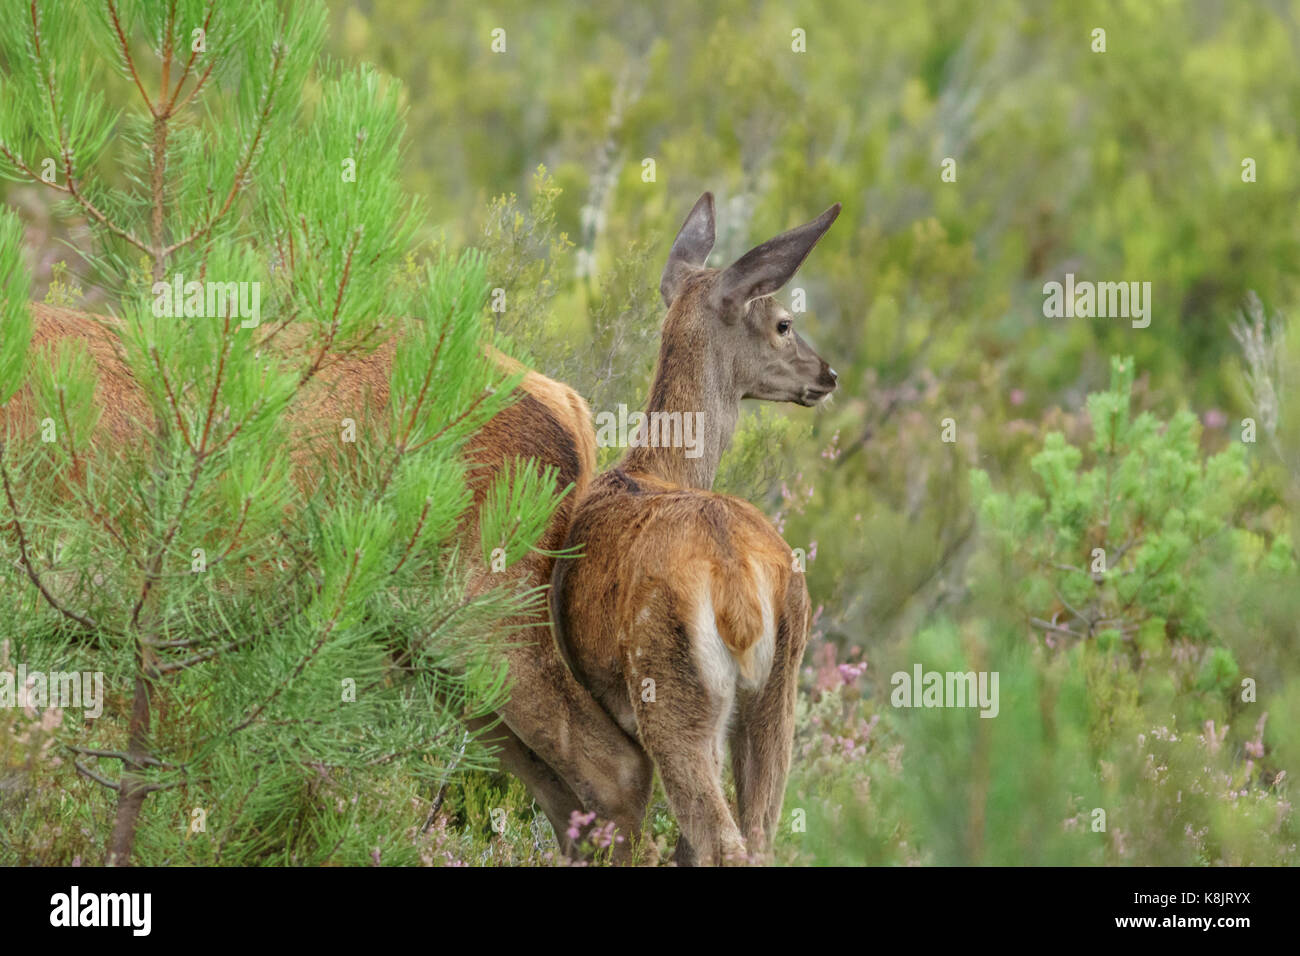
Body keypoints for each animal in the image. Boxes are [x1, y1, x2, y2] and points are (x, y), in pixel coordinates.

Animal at [550, 192, 841, 865]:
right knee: (755, 835)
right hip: (772, 691)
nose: (828, 374)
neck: (654, 465)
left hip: (673, 688)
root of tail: (735, 580)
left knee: (722, 838)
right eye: (783, 322)